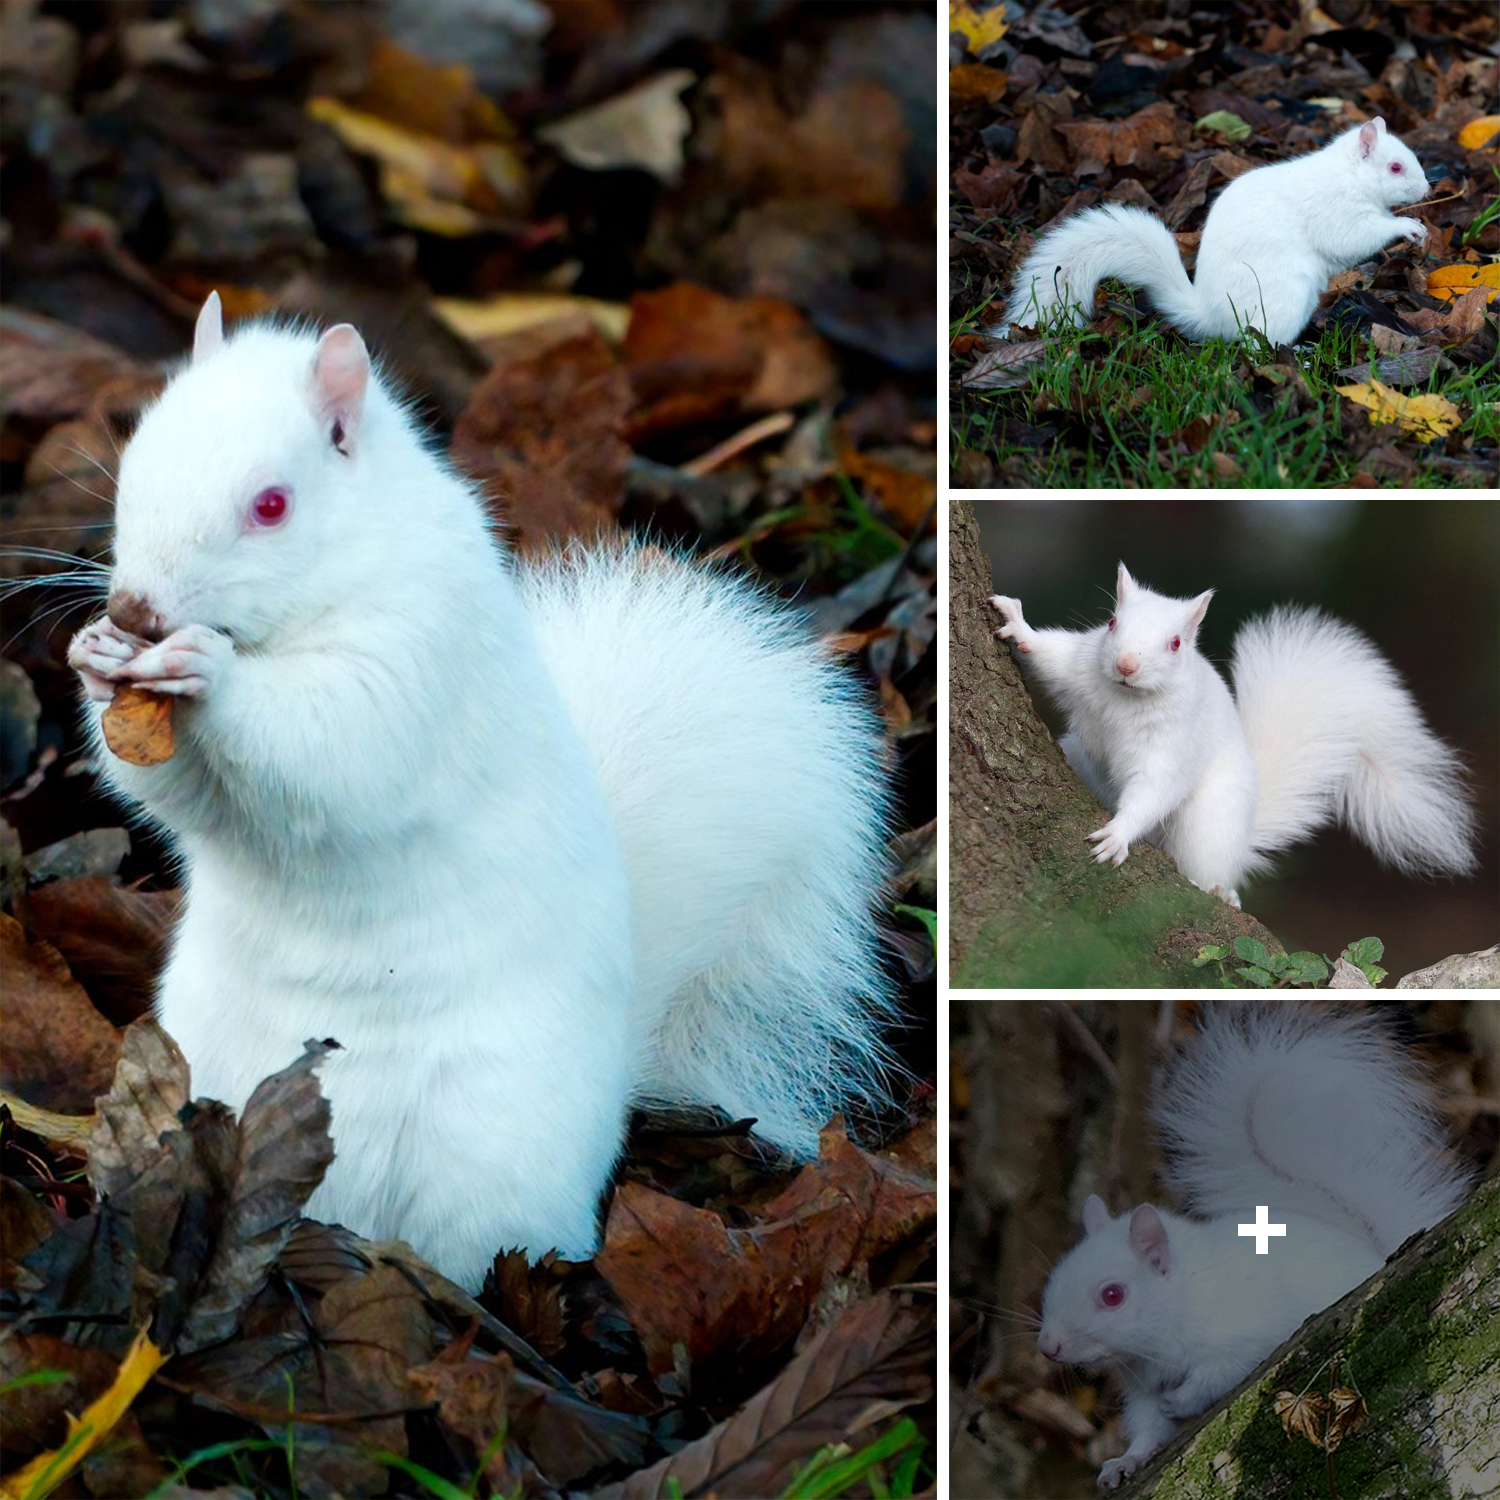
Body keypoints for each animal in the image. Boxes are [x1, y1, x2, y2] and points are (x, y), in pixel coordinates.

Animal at [66, 293, 897, 1288]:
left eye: (271, 506)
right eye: (137, 461)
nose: (136, 612)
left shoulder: (421, 646)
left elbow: (336, 741)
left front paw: (207, 671)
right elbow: (176, 790)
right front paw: (95, 657)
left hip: (489, 1138)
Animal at [989, 564, 1477, 908]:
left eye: (1175, 644)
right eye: (1111, 623)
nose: (1126, 665)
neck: (1125, 697)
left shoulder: (1174, 741)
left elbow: (1156, 786)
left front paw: (1119, 834)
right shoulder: (1079, 665)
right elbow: (1046, 653)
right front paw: (1016, 623)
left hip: (1210, 823)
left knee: (1207, 865)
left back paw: (1222, 892)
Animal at [1008, 117, 1428, 344]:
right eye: (1395, 167)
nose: (1426, 191)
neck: (1349, 174)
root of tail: (1210, 316)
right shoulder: (1335, 209)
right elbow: (1351, 238)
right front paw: (1406, 226)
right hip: (1281, 300)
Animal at [1037, 1002, 1473, 1490]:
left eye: (1112, 1295)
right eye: (1054, 1278)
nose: (1048, 1347)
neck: (1183, 1300)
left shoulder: (1249, 1332)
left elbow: (1220, 1373)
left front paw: (1181, 1400)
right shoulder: (1140, 1382)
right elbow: (1148, 1425)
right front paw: (1124, 1462)